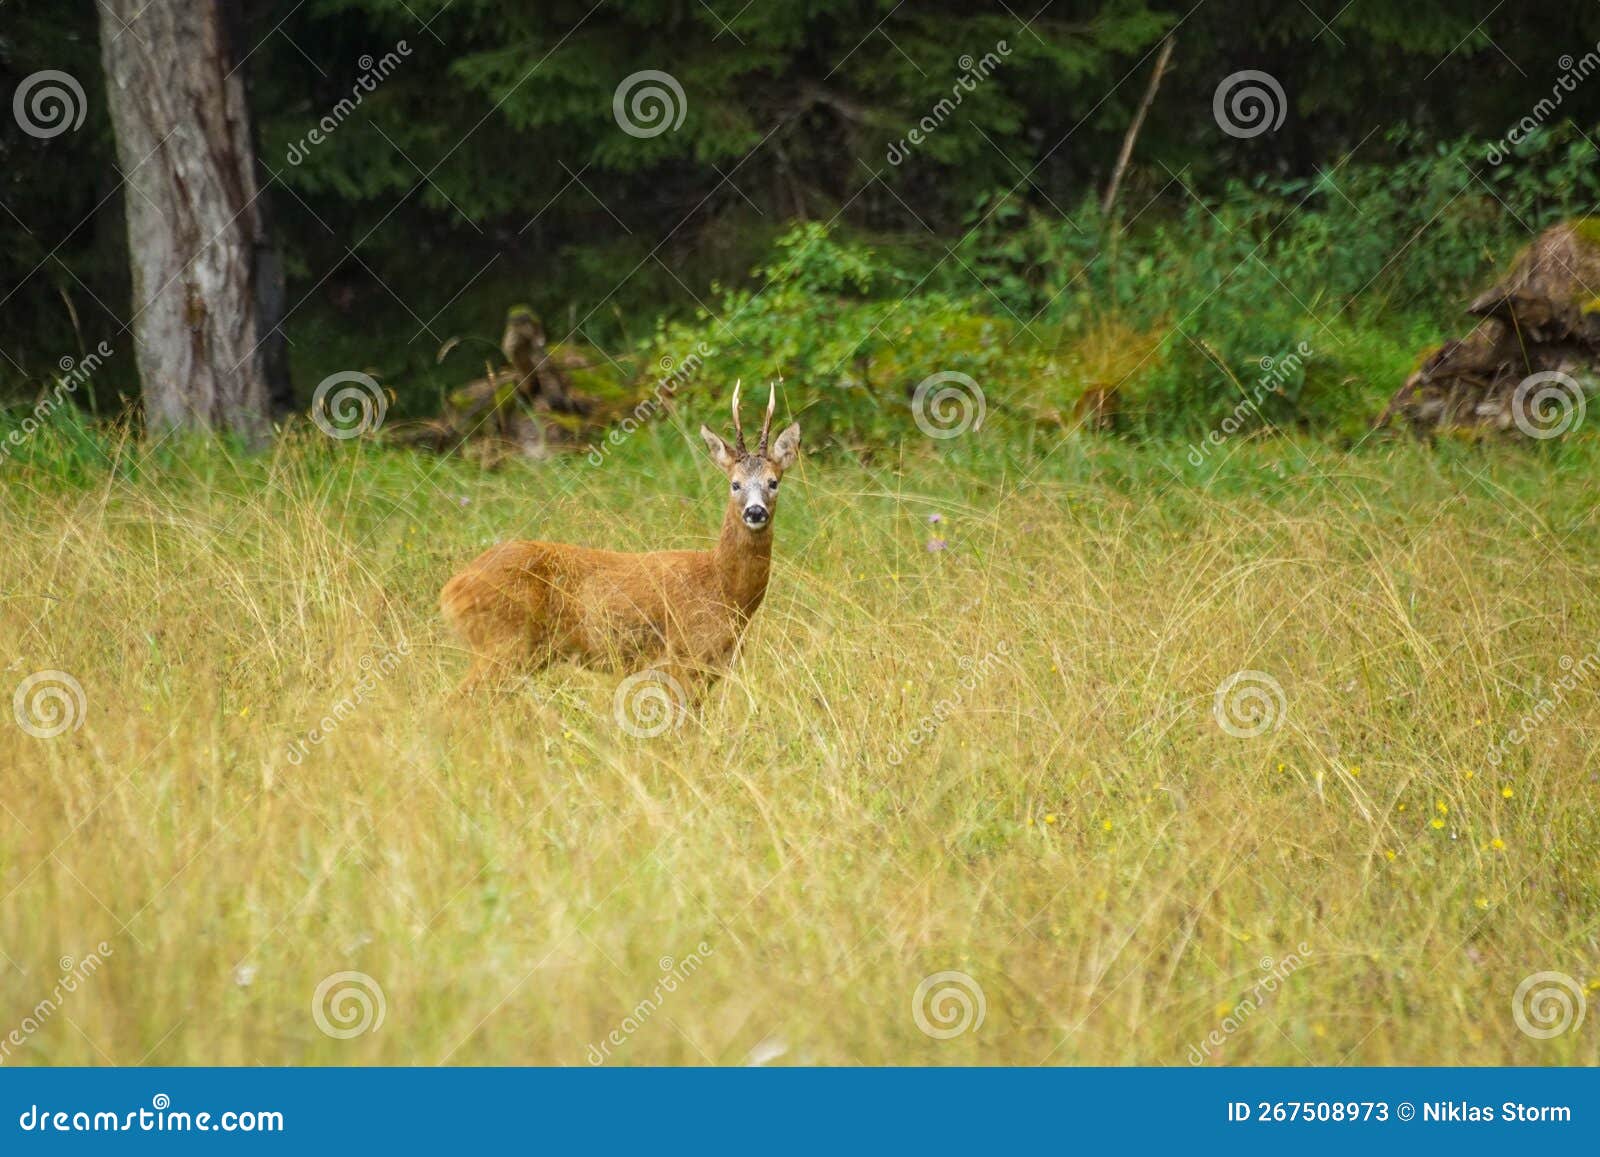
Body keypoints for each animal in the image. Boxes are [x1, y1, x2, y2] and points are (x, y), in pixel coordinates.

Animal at [440, 383, 802, 705]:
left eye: (773, 482)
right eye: (734, 484)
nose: (755, 512)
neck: (724, 588)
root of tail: (451, 590)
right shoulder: (680, 658)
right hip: (503, 644)